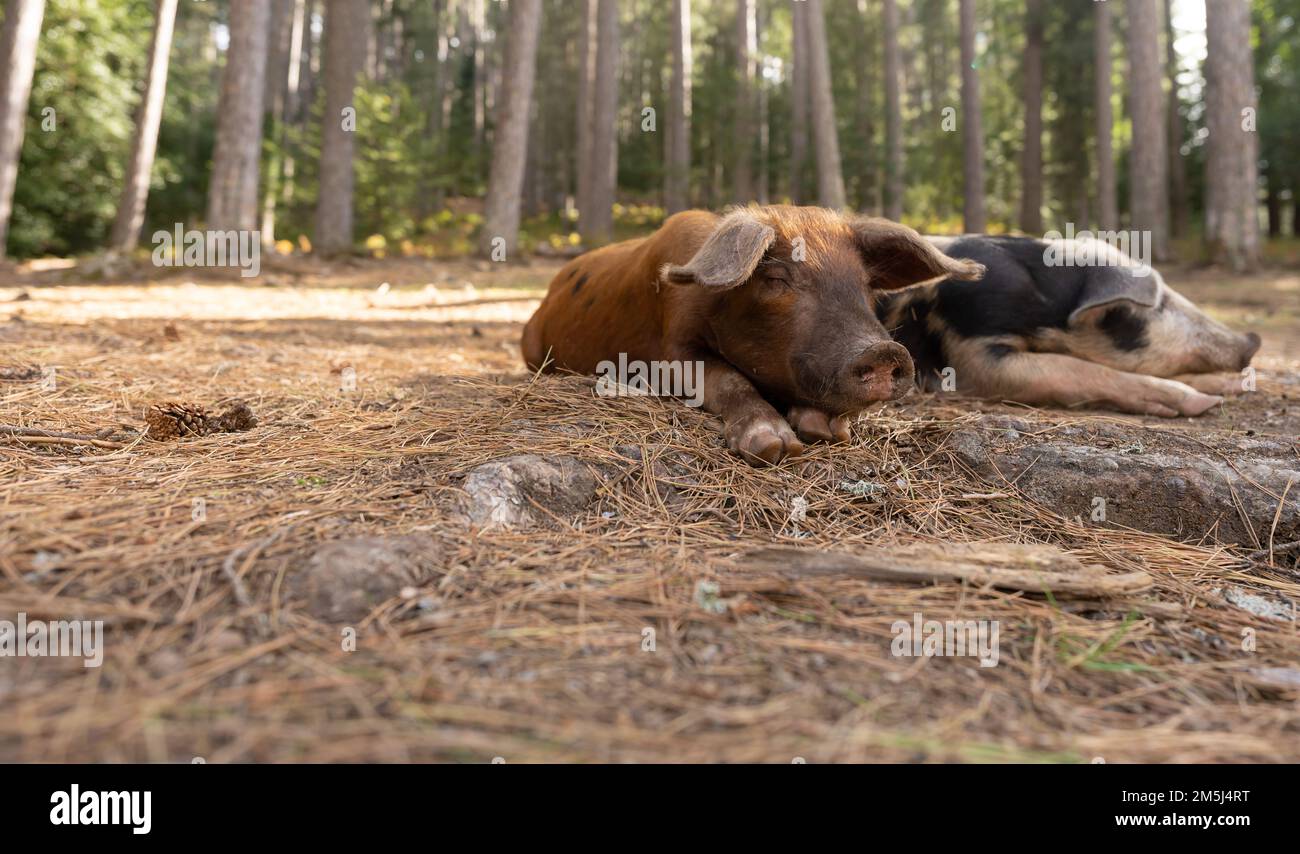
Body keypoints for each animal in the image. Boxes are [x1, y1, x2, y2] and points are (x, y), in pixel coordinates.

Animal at [522, 205, 985, 464]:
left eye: (866, 286)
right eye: (777, 279)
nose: (886, 351)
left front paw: (827, 430)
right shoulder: (670, 349)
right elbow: (728, 380)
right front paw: (776, 448)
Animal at [879, 234, 1263, 417]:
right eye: (1161, 304)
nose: (1253, 339)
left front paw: (1228, 388)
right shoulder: (968, 343)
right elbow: (1073, 369)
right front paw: (1203, 404)